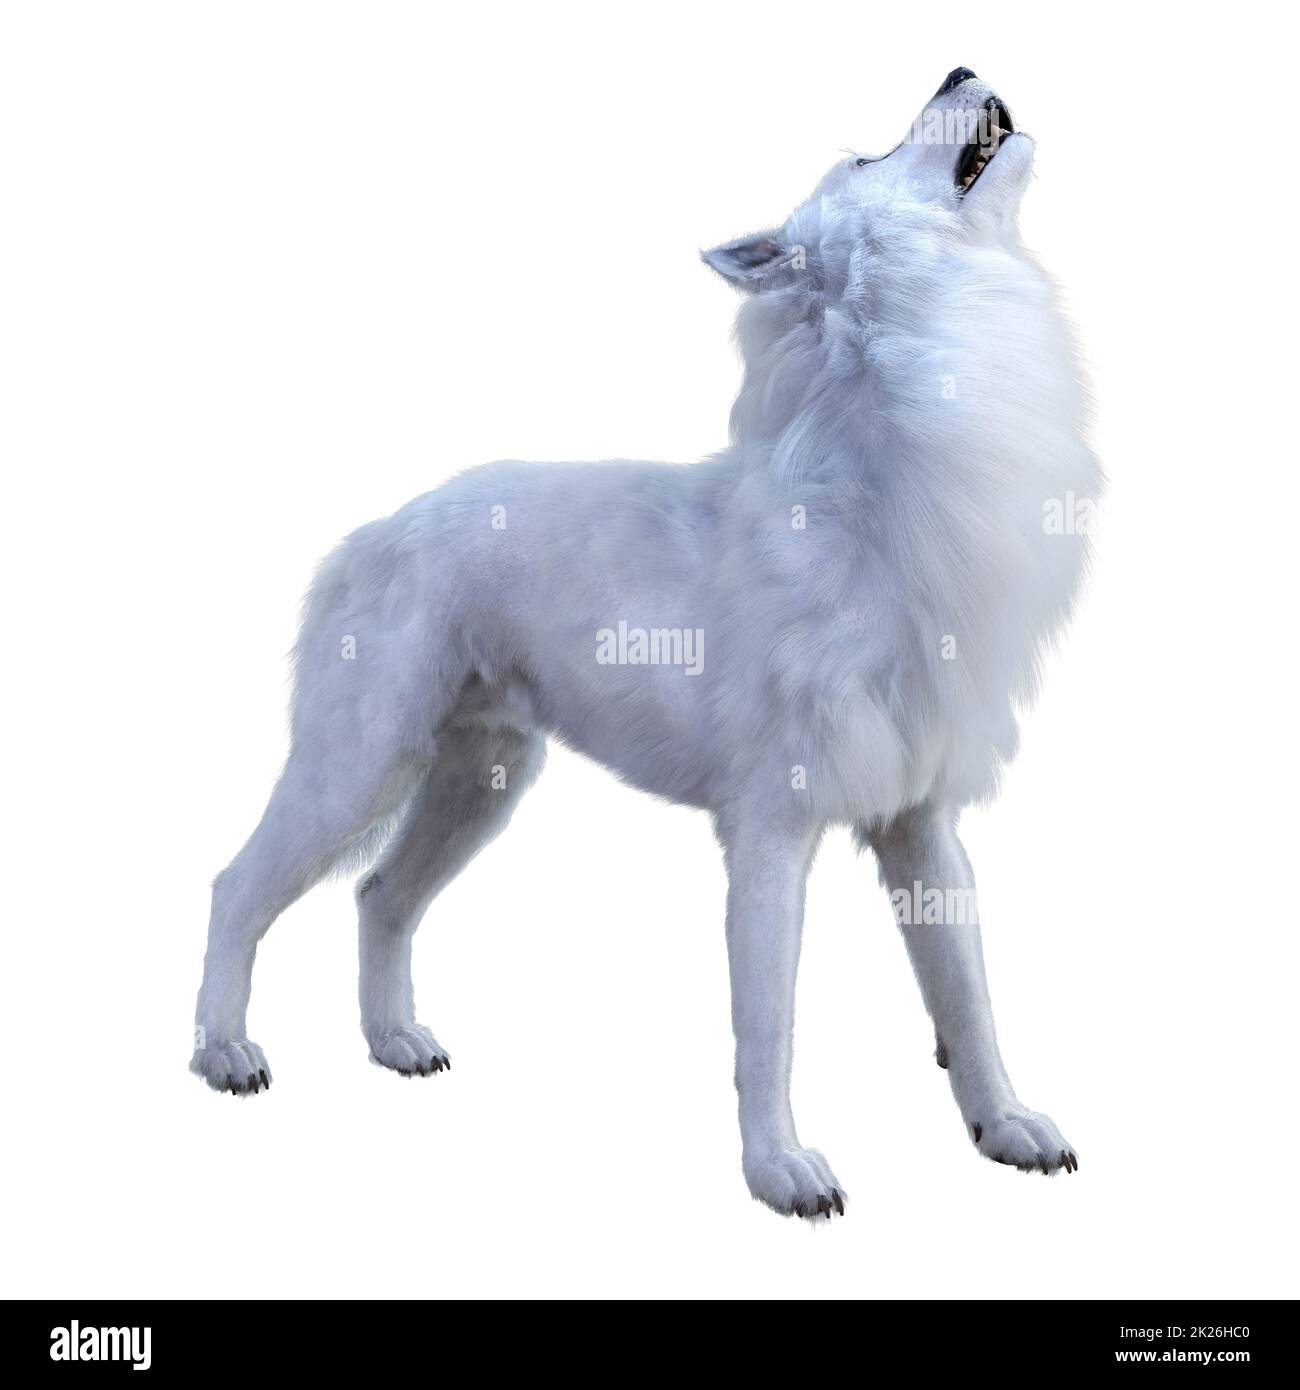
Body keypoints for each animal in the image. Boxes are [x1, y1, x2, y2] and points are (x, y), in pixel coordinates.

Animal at [192, 68, 1099, 1219]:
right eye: (866, 157)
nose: (957, 70)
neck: (874, 482)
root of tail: (377, 531)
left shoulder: (921, 830)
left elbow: (970, 1007)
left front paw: (1006, 1128)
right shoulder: (770, 837)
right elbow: (768, 1030)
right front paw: (781, 1174)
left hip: (477, 784)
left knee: (379, 897)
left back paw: (395, 1042)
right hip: (356, 770)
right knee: (237, 888)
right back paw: (224, 1052)